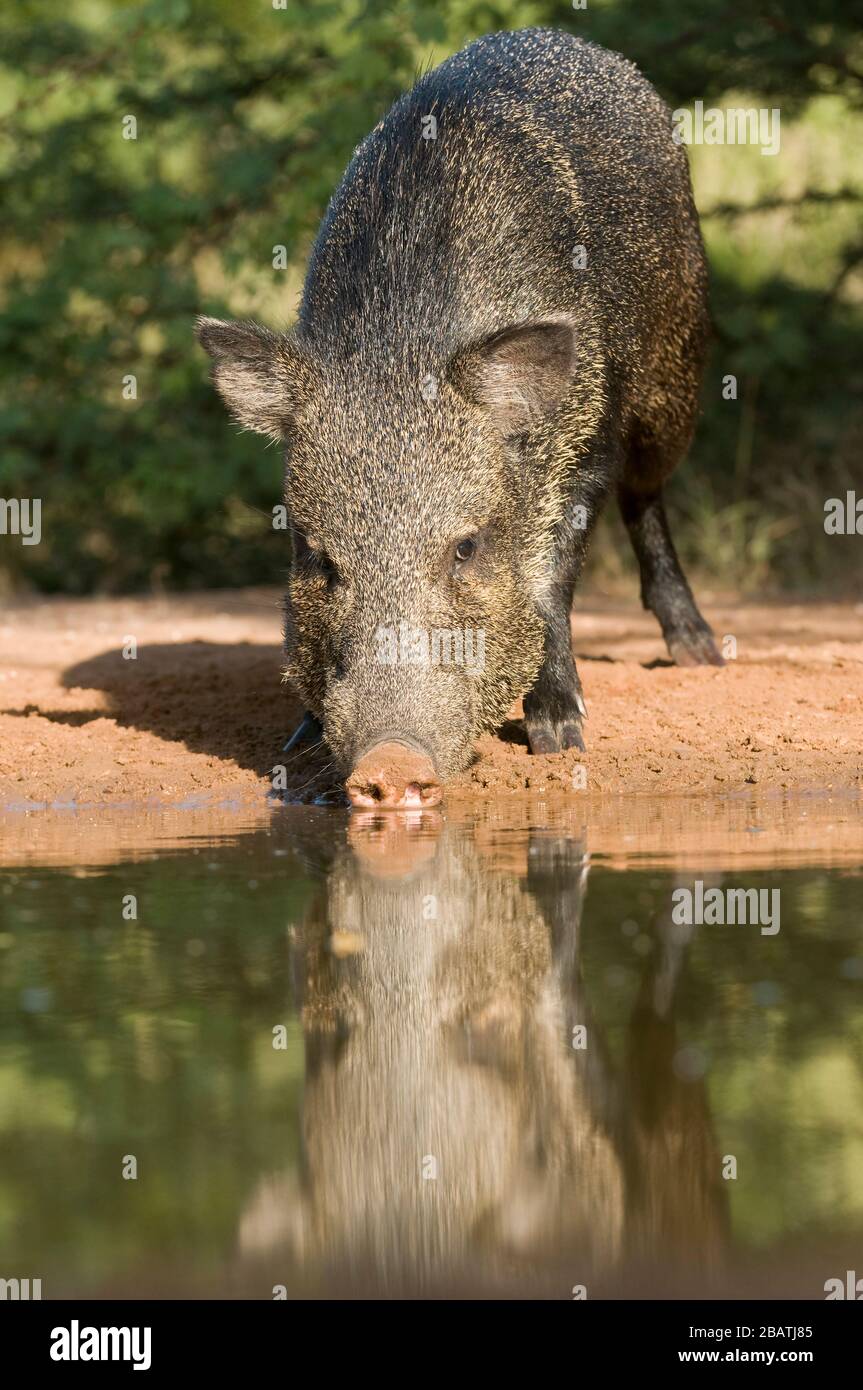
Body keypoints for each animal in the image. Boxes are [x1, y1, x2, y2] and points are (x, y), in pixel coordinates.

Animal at [197, 27, 722, 808]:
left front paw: (559, 738)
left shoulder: (586, 442)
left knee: (646, 496)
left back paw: (699, 654)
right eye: (319, 558)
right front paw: (296, 741)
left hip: (674, 376)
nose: (388, 762)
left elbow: (549, 581)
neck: (400, 343)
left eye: (466, 548)